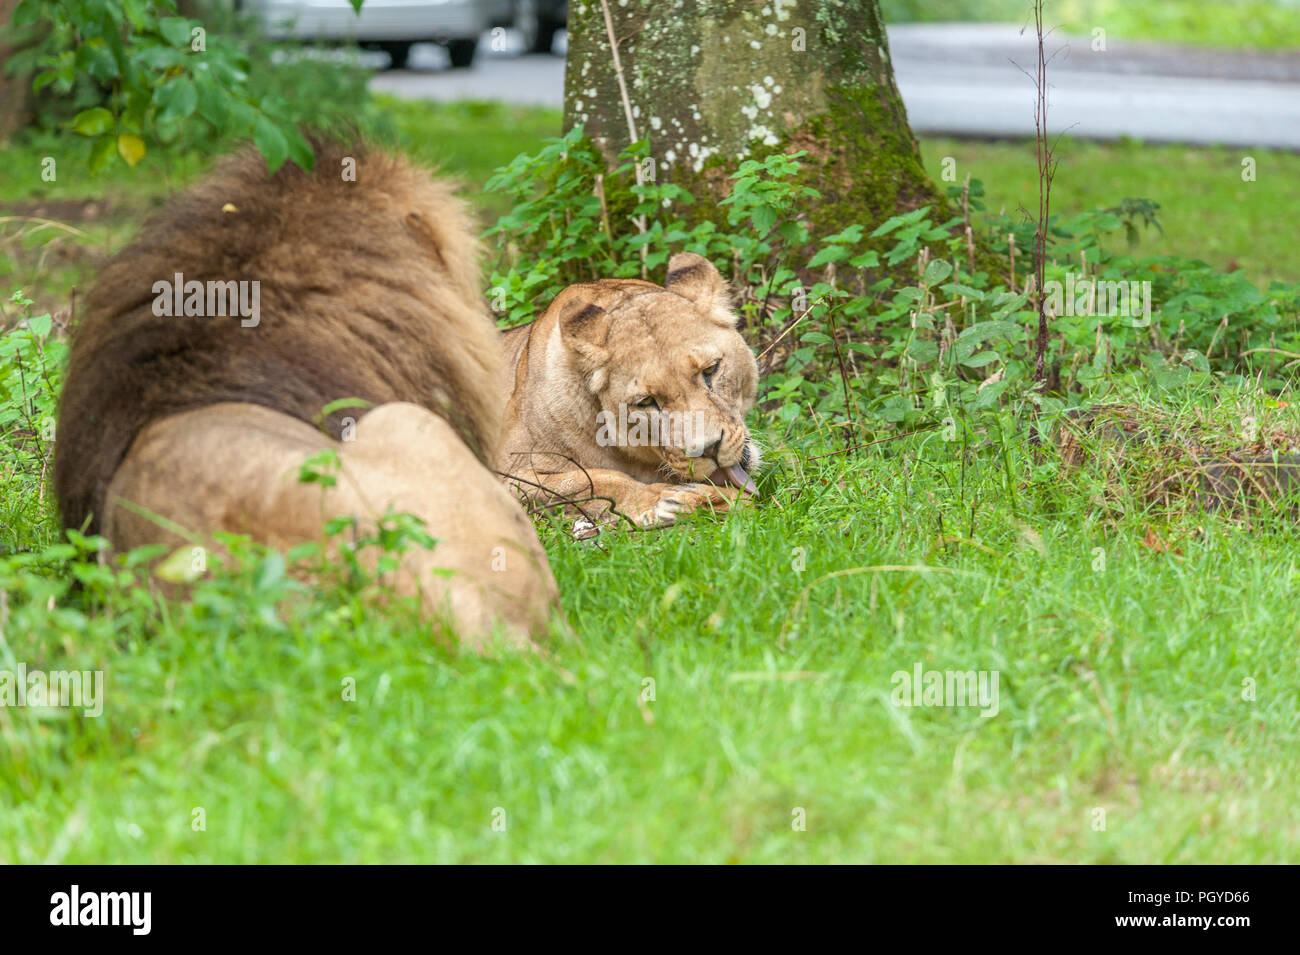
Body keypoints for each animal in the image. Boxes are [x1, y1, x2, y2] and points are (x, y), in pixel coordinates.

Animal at [498, 253, 761, 529]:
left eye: (711, 369)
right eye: (645, 402)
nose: (709, 449)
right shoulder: (508, 476)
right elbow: (591, 481)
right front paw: (662, 501)